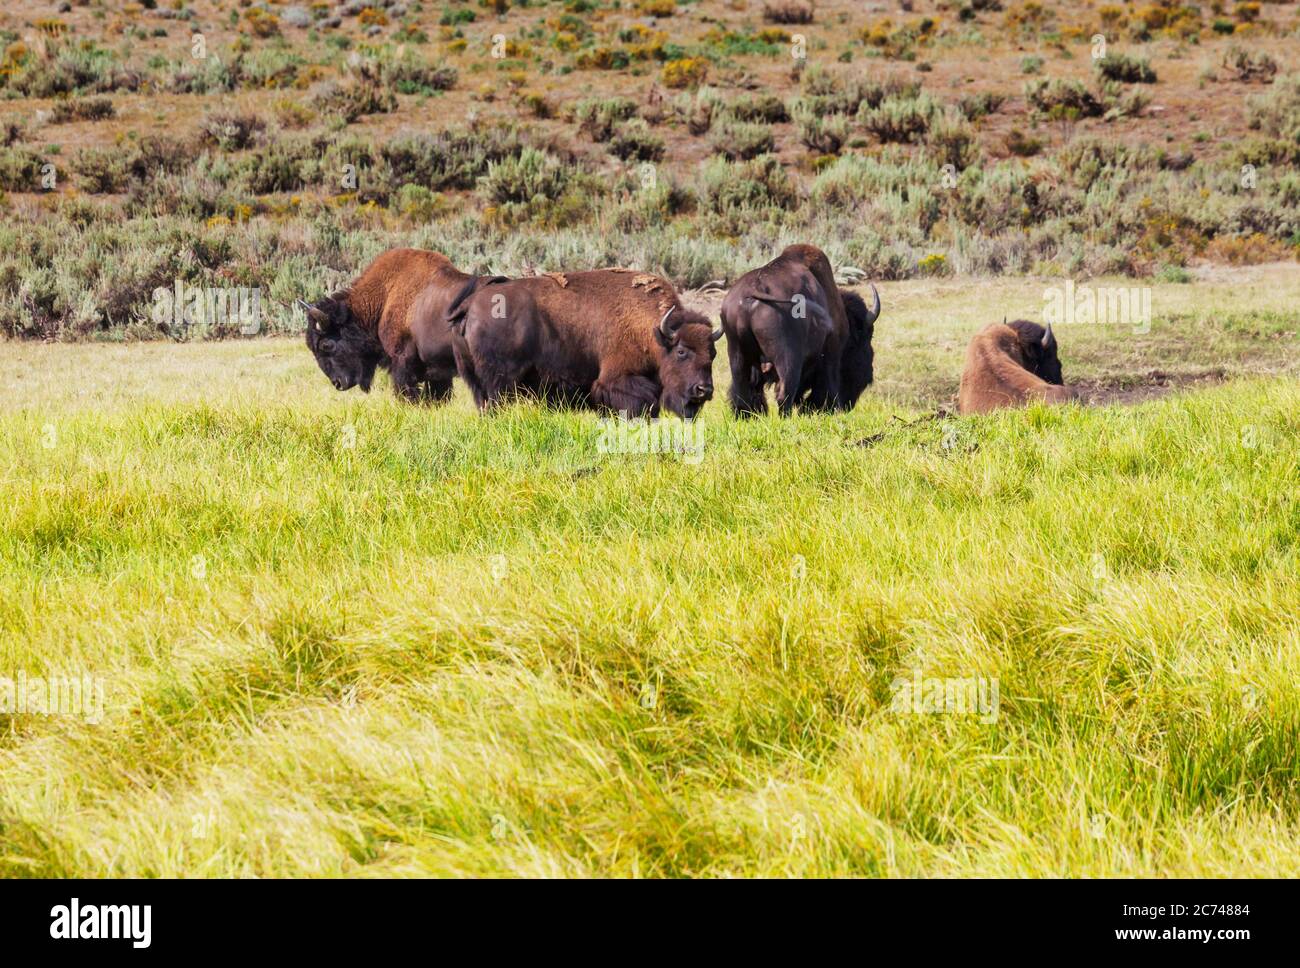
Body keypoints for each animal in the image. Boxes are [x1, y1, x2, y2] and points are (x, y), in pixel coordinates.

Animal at [447, 269, 722, 418]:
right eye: (681, 351)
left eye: (712, 354)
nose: (704, 390)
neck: (651, 330)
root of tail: (470, 303)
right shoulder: (618, 379)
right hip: (500, 384)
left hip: (476, 381)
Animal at [720, 244, 881, 416]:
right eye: (866, 339)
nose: (869, 375)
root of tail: (753, 292)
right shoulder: (832, 351)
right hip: (788, 358)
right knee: (784, 392)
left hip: (737, 354)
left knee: (742, 392)